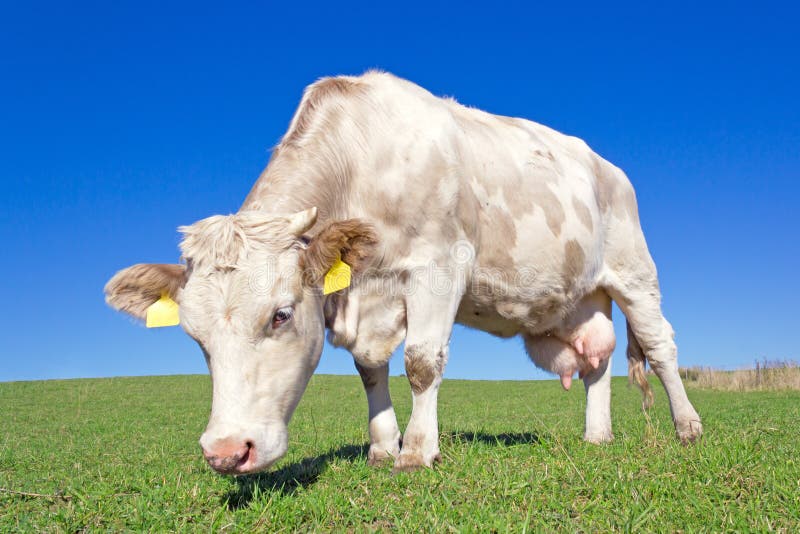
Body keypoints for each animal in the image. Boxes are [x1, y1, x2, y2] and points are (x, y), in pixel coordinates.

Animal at [105, 71, 702, 475]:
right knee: (597, 360)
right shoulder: (367, 296)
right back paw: (597, 437)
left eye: (279, 316)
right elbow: (370, 370)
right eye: (194, 336)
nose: (227, 452)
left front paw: (416, 451)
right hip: (582, 297)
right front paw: (380, 446)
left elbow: (420, 362)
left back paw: (687, 426)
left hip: (635, 274)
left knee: (661, 346)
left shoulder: (438, 265)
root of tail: (606, 165)